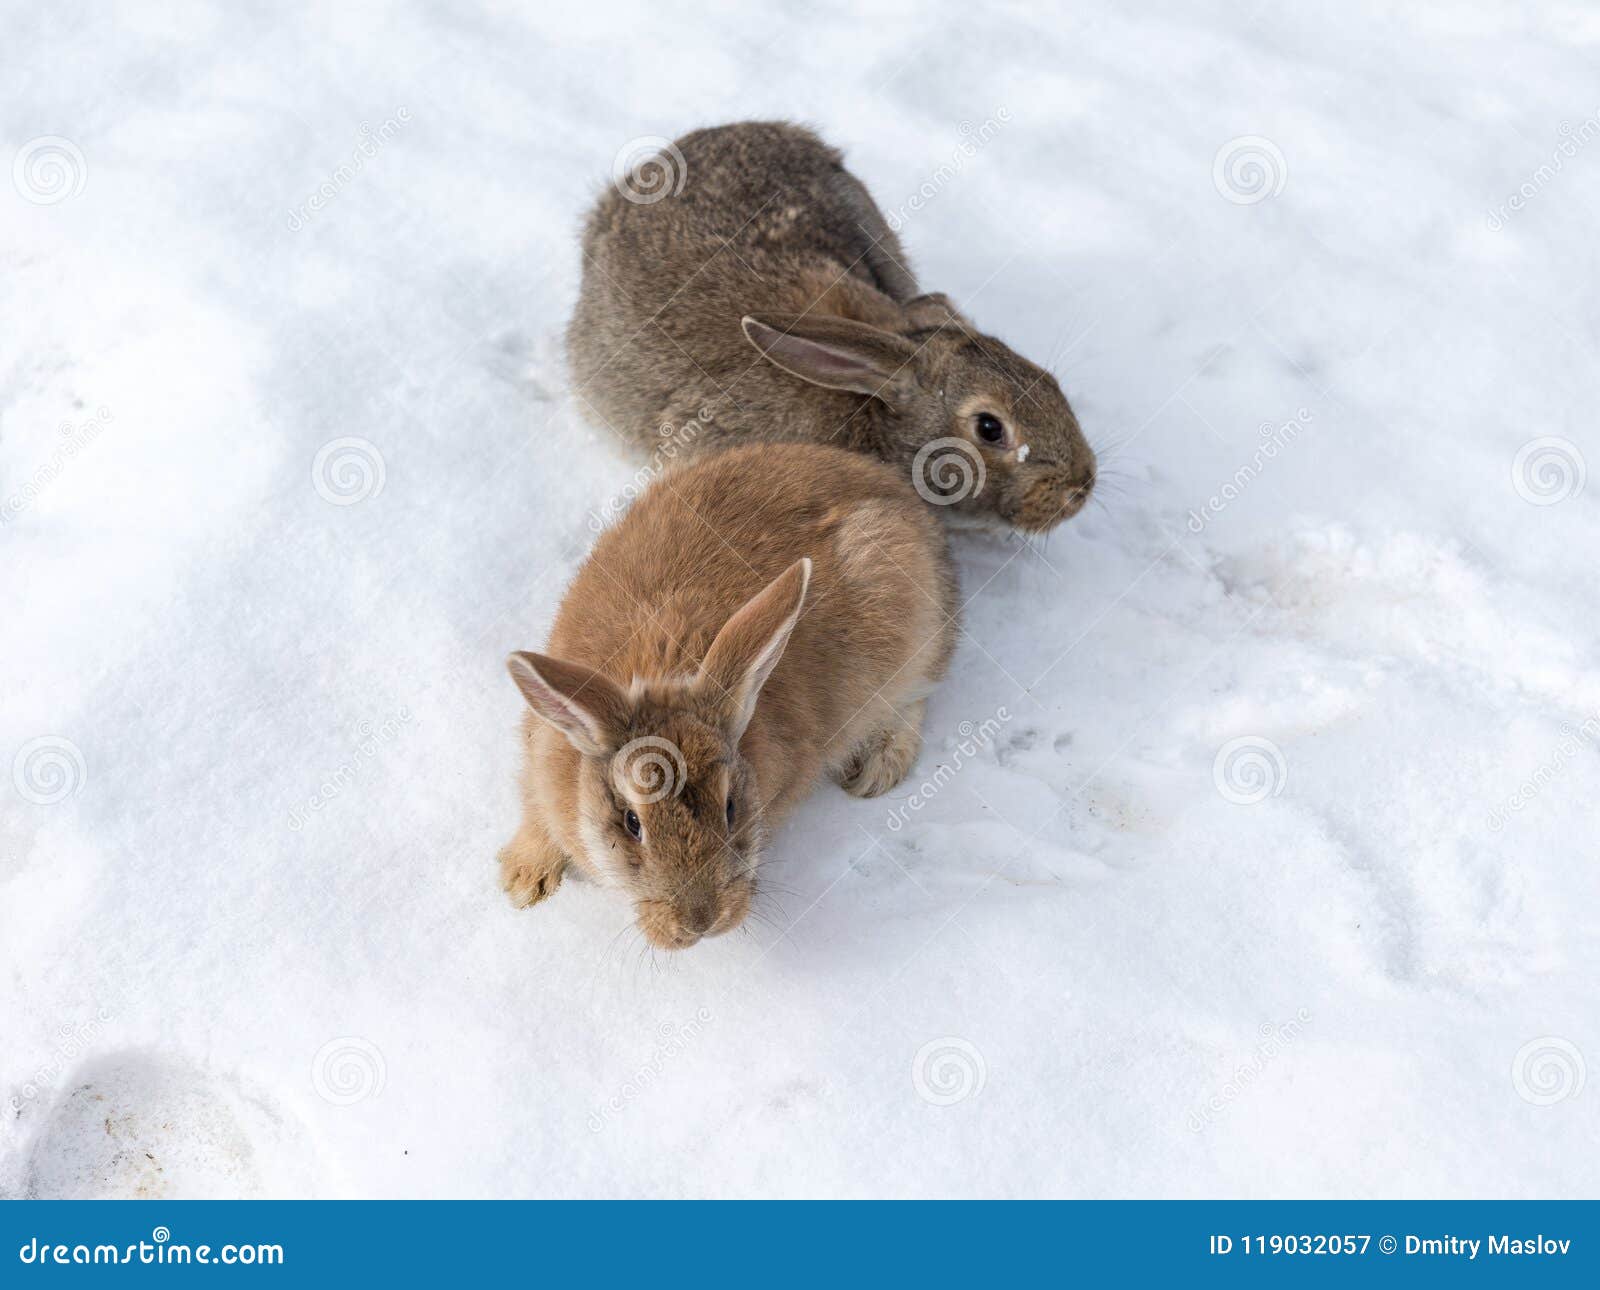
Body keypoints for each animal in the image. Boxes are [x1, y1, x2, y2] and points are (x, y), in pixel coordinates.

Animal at [498, 441, 959, 950]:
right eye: (632, 823)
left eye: (730, 809)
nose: (700, 923)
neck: (661, 669)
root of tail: (894, 489)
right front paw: (523, 882)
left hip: (907, 634)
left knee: (919, 691)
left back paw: (878, 768)